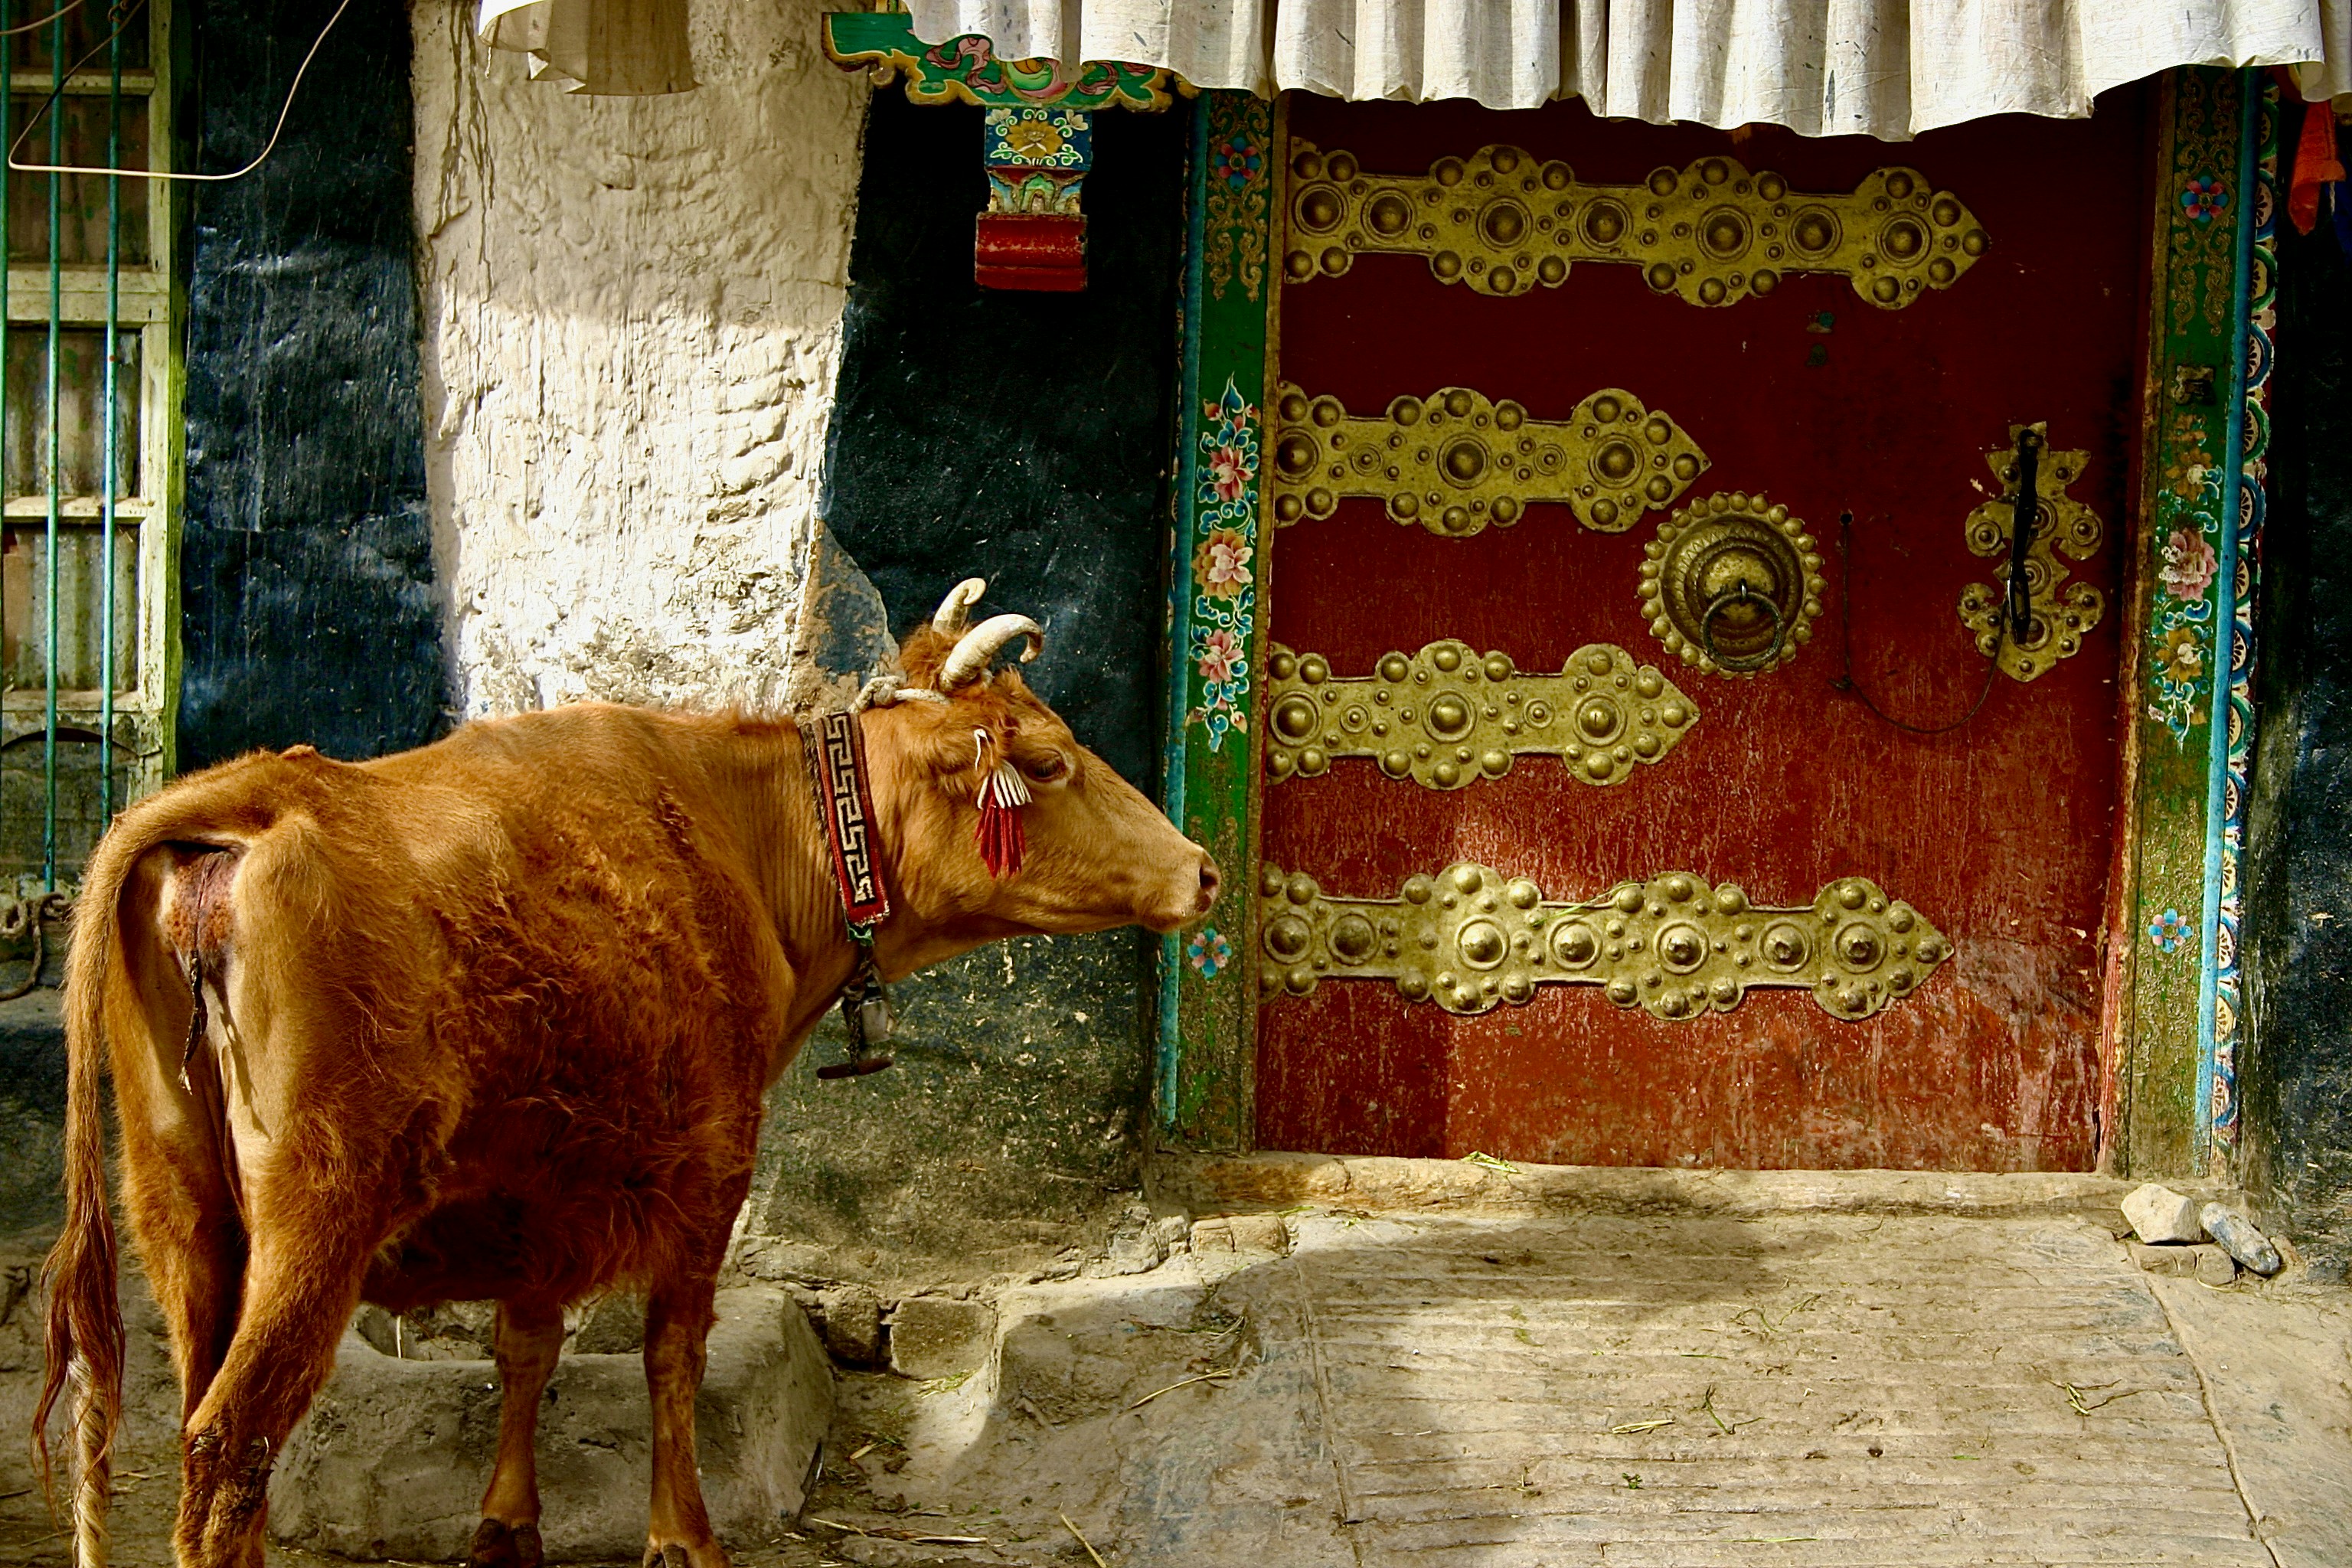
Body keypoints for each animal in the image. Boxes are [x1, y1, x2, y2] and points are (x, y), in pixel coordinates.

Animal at [34, 582, 1219, 1568]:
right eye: (1052, 760)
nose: (1202, 870)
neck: (746, 834)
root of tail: (254, 794)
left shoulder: (542, 1178)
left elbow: (526, 1348)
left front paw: (507, 1526)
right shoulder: (712, 1161)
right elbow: (671, 1353)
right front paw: (683, 1535)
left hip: (181, 1211)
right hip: (316, 1216)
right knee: (228, 1443)